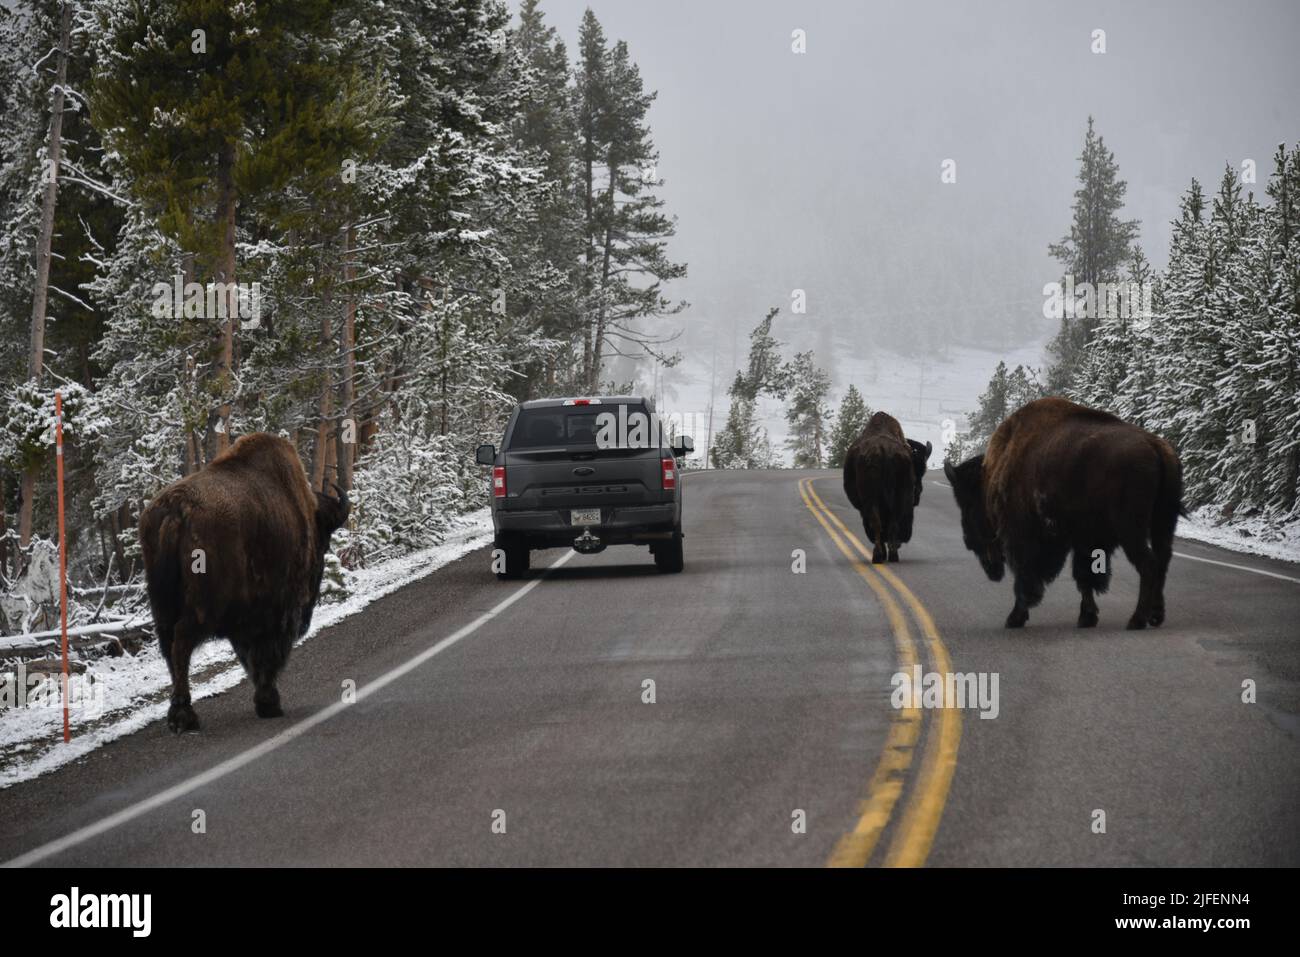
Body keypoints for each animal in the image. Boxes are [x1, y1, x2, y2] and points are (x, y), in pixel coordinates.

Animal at [139, 433, 350, 732]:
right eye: (323, 541)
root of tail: (175, 510)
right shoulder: (277, 614)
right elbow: (265, 657)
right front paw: (269, 704)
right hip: (204, 610)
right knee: (182, 642)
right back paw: (184, 716)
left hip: (163, 608)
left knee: (170, 648)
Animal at [843, 411, 929, 563]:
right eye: (918, 475)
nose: (917, 496)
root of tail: (884, 450)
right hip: (895, 496)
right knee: (889, 522)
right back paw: (890, 554)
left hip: (874, 498)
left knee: (879, 522)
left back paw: (881, 554)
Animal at [944, 397, 1183, 630]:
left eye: (968, 504)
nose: (968, 541)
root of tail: (1155, 445)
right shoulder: (1084, 540)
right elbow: (1084, 576)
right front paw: (1087, 618)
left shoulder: (1024, 538)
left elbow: (1026, 577)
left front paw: (1014, 618)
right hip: (1163, 522)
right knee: (1162, 559)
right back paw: (1156, 615)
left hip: (1131, 530)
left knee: (1148, 564)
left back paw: (1137, 620)